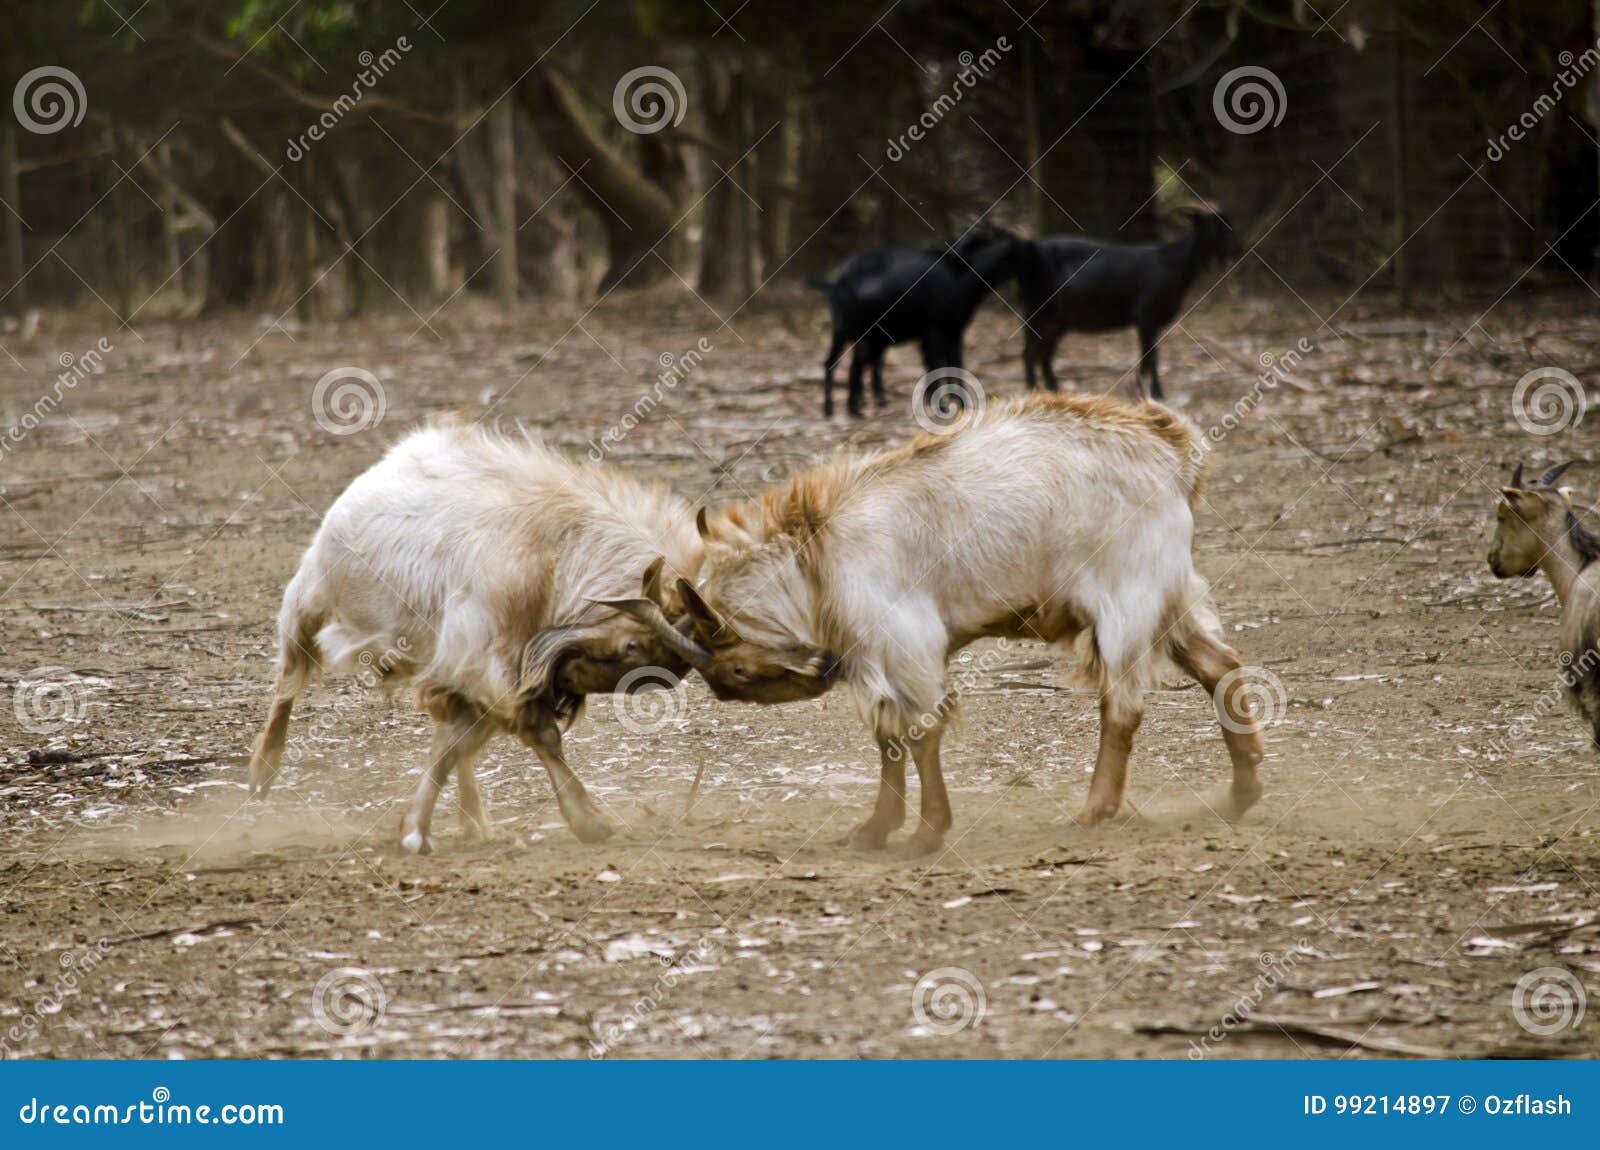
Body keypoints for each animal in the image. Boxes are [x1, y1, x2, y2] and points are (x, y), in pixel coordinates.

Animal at [246, 420, 706, 853]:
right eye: (631, 645)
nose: (562, 684)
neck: (552, 550)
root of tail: (389, 461)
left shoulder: (484, 669)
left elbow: (453, 745)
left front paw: (415, 829)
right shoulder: (487, 660)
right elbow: (538, 734)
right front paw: (588, 820)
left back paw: (474, 819)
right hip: (309, 598)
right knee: (288, 678)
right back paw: (262, 773)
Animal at [610, 394, 1266, 855]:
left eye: (737, 672)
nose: (821, 673)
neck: (817, 553)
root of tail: (1174, 451)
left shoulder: (905, 644)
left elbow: (922, 729)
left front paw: (926, 833)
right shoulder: (879, 658)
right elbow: (888, 735)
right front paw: (876, 830)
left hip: (1126, 602)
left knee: (1123, 705)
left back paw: (1093, 810)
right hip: (1170, 599)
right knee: (1222, 669)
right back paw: (1242, 791)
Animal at [805, 230, 1026, 419]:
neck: (961, 275)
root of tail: (836, 282)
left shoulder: (952, 331)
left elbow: (954, 363)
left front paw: (958, 403)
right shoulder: (935, 332)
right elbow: (938, 364)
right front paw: (943, 404)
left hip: (864, 339)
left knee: (855, 366)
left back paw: (855, 408)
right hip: (845, 334)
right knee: (833, 363)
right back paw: (830, 410)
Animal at [1017, 208, 1238, 401]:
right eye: (1216, 228)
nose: (1239, 248)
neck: (1173, 264)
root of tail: (1031, 250)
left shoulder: (1154, 320)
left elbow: (1147, 357)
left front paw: (1145, 390)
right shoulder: (1145, 316)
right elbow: (1151, 356)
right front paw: (1156, 391)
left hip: (1056, 321)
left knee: (1043, 355)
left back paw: (1054, 391)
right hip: (1034, 311)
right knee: (1028, 354)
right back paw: (1031, 390)